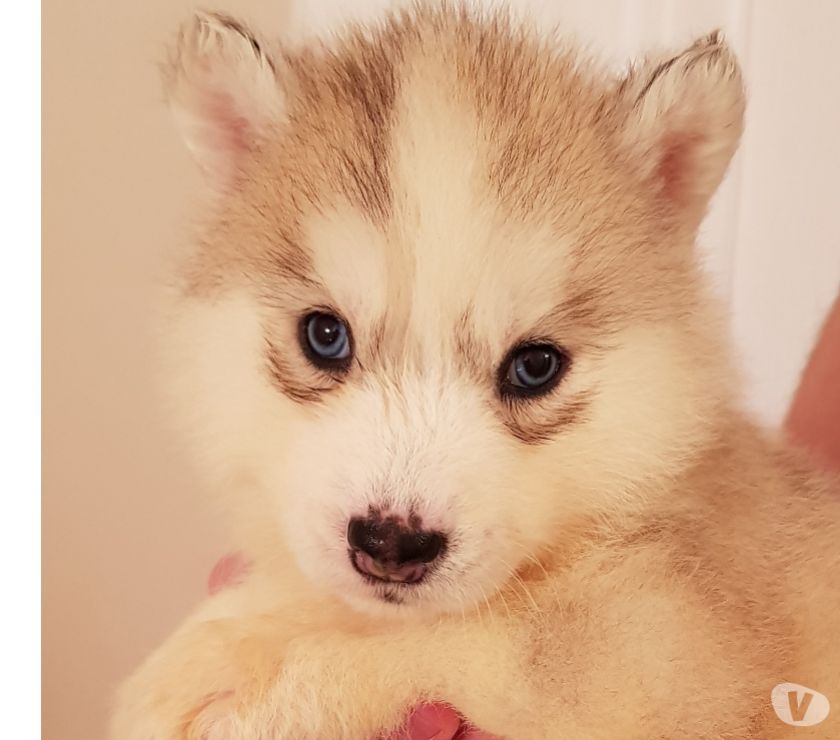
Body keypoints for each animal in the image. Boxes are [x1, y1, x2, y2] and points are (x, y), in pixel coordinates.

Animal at [113, 7, 840, 740]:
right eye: (324, 336)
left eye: (535, 366)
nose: (391, 543)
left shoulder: (661, 653)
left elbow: (461, 633)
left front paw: (241, 683)